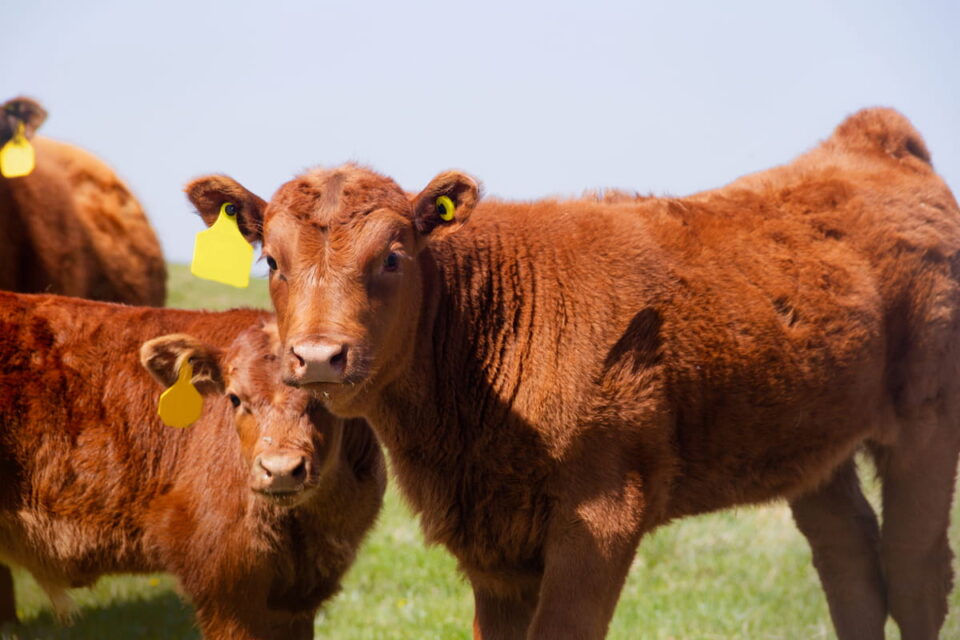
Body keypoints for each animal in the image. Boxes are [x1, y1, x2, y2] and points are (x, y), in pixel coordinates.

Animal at [184, 108, 960, 639]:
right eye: (271, 260)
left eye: (393, 256)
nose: (318, 357)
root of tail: (872, 140)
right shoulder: (491, 539)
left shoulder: (600, 513)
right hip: (811, 442)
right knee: (850, 562)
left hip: (928, 424)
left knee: (914, 572)